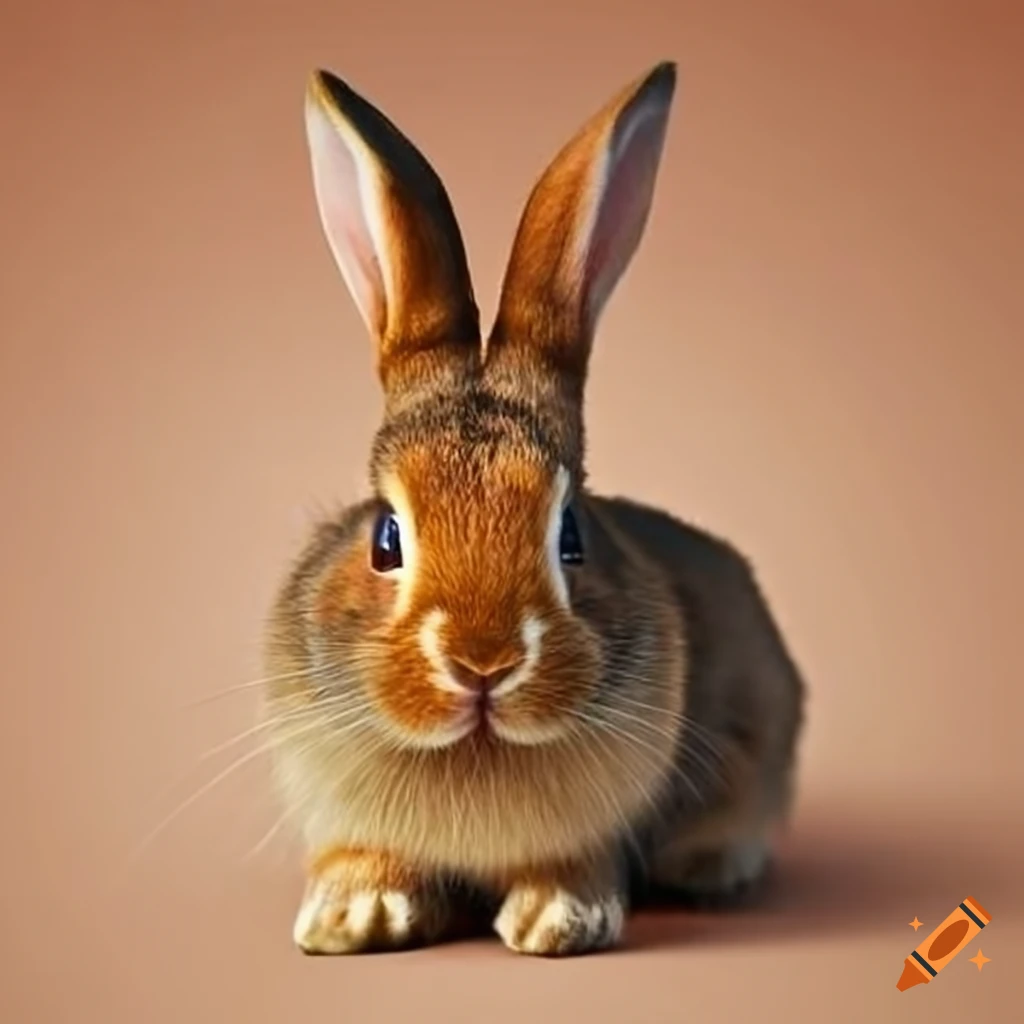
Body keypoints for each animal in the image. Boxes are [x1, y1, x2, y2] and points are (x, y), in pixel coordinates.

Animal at [262, 60, 806, 957]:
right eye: (386, 538)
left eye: (571, 535)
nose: (482, 665)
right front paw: (350, 917)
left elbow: (572, 865)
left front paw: (559, 921)